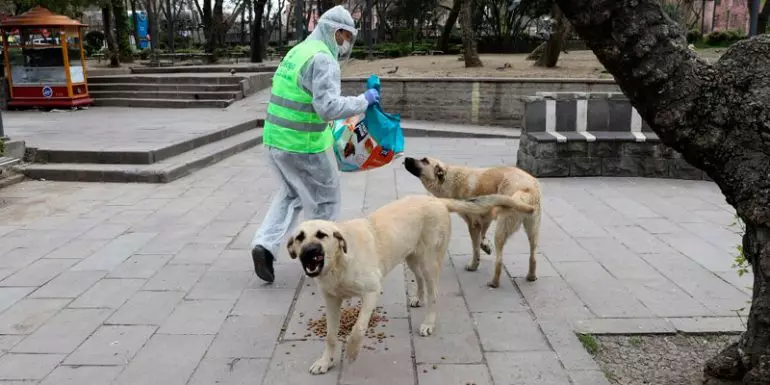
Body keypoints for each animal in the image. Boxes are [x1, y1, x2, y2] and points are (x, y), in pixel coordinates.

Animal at [284, 194, 536, 374]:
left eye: (322, 235)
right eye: (299, 238)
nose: (309, 252)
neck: (339, 262)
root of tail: (437, 200)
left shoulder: (372, 291)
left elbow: (358, 328)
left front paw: (353, 352)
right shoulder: (331, 300)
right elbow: (330, 335)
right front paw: (325, 361)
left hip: (430, 262)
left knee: (434, 293)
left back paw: (428, 322)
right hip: (412, 258)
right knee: (421, 280)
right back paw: (418, 298)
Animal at [402, 154, 540, 286]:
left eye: (425, 160)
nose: (405, 158)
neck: (451, 179)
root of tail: (527, 188)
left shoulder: (473, 223)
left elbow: (475, 247)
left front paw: (474, 264)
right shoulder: (484, 216)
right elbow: (482, 236)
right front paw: (485, 246)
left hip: (501, 229)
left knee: (499, 261)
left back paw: (494, 283)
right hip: (533, 230)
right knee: (533, 256)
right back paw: (531, 276)